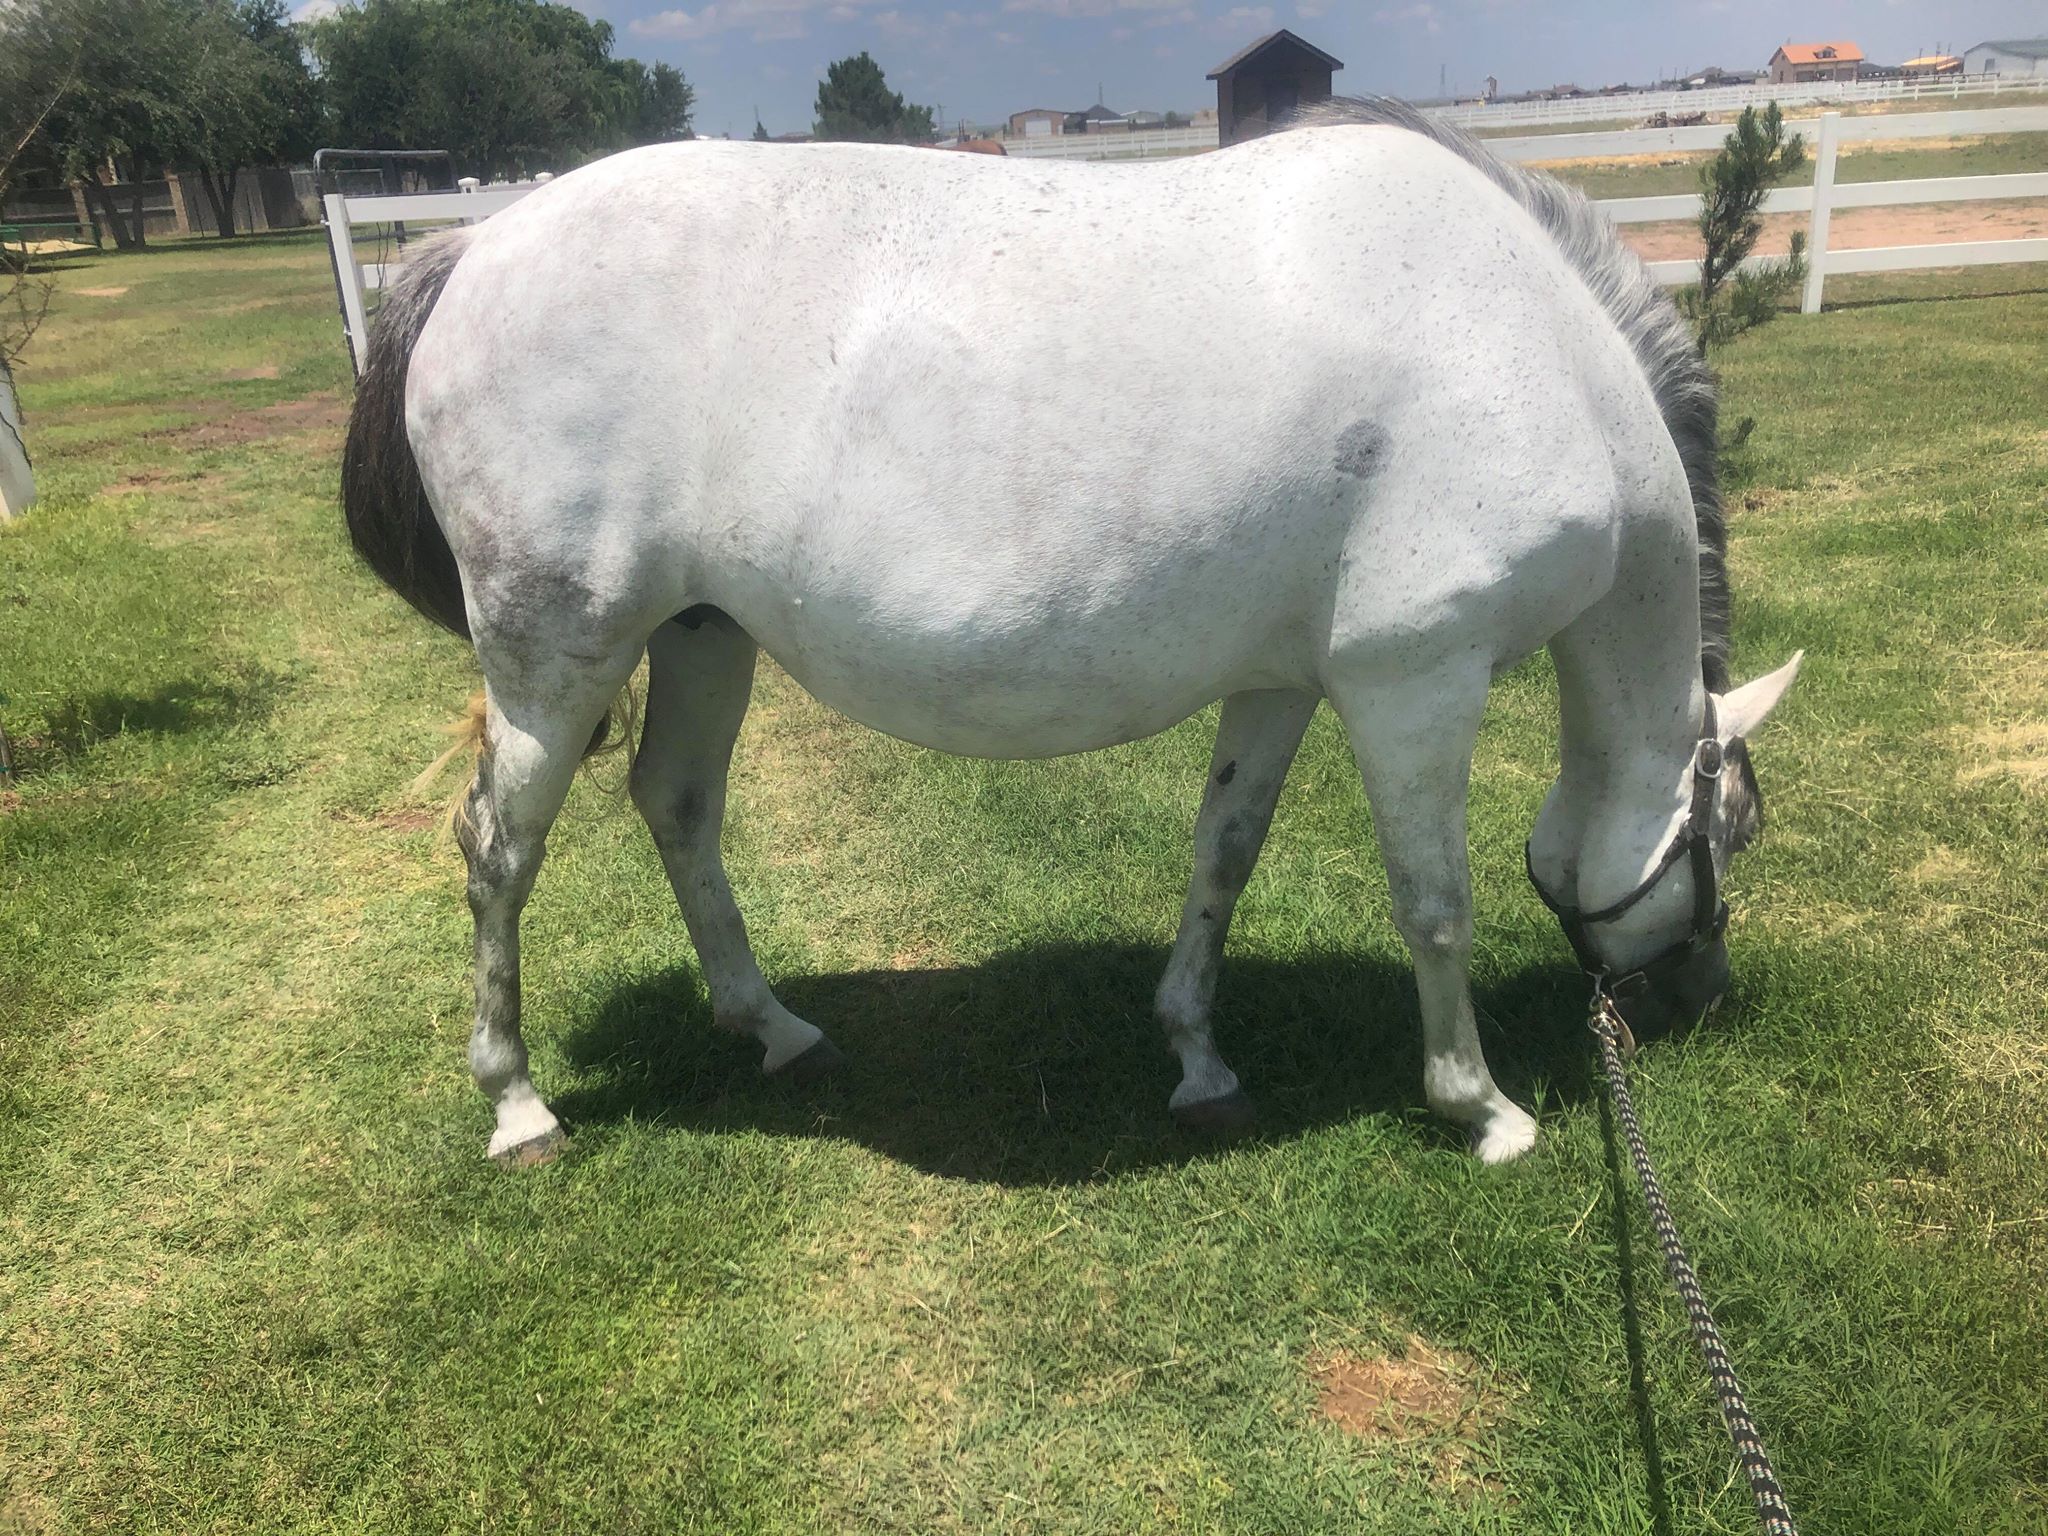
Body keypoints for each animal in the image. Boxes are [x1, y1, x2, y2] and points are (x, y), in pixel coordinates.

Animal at [342, 98, 1801, 1167]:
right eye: (1726, 838)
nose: (1703, 999)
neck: (1531, 346)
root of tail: (473, 250)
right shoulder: (1414, 680)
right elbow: (1434, 905)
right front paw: (1480, 1108)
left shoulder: (1282, 682)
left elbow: (1223, 855)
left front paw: (1198, 1058)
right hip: (559, 654)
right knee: (498, 849)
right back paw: (518, 1104)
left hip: (703, 632)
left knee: (678, 807)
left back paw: (775, 1029)